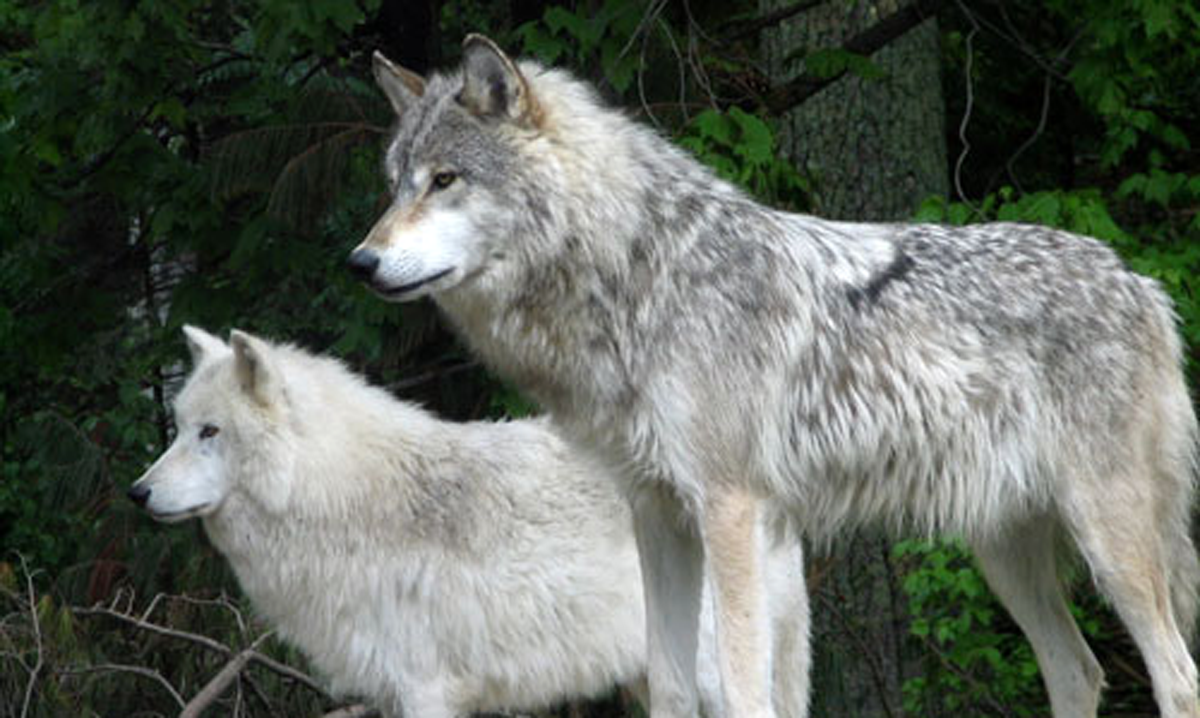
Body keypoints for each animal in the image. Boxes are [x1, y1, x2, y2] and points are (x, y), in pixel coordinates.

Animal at [127, 326, 810, 718]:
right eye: (179, 427)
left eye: (210, 432)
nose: (138, 492)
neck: (337, 496)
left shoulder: (426, 689)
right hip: (656, 678)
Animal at [347, 35, 1200, 718]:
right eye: (393, 183)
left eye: (446, 180)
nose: (361, 261)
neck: (639, 280)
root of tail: (1136, 280)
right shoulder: (657, 517)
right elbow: (670, 686)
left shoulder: (732, 511)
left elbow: (744, 687)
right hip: (1006, 551)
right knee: (1079, 671)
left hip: (1108, 541)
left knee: (1177, 673)